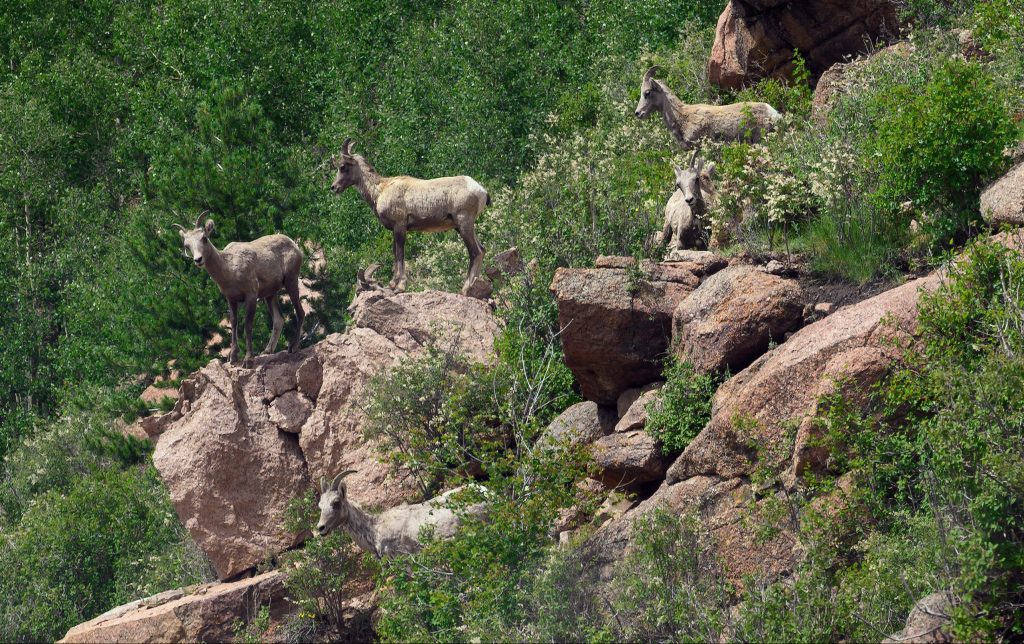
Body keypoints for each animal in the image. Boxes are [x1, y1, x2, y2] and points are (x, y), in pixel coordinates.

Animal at [176, 213, 305, 368]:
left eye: (204, 238)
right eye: (187, 245)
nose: (198, 259)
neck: (229, 270)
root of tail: (294, 245)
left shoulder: (251, 296)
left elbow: (247, 326)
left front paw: (248, 360)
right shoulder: (231, 299)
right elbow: (234, 323)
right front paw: (233, 357)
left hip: (291, 280)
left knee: (300, 312)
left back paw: (293, 346)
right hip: (270, 294)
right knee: (279, 320)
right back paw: (267, 351)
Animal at [330, 138, 489, 295]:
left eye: (343, 166)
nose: (333, 187)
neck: (380, 190)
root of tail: (481, 191)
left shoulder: (400, 226)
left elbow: (400, 253)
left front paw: (400, 286)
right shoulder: (395, 229)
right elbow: (395, 253)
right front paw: (392, 284)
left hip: (464, 223)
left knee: (475, 252)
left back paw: (466, 289)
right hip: (461, 226)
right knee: (482, 250)